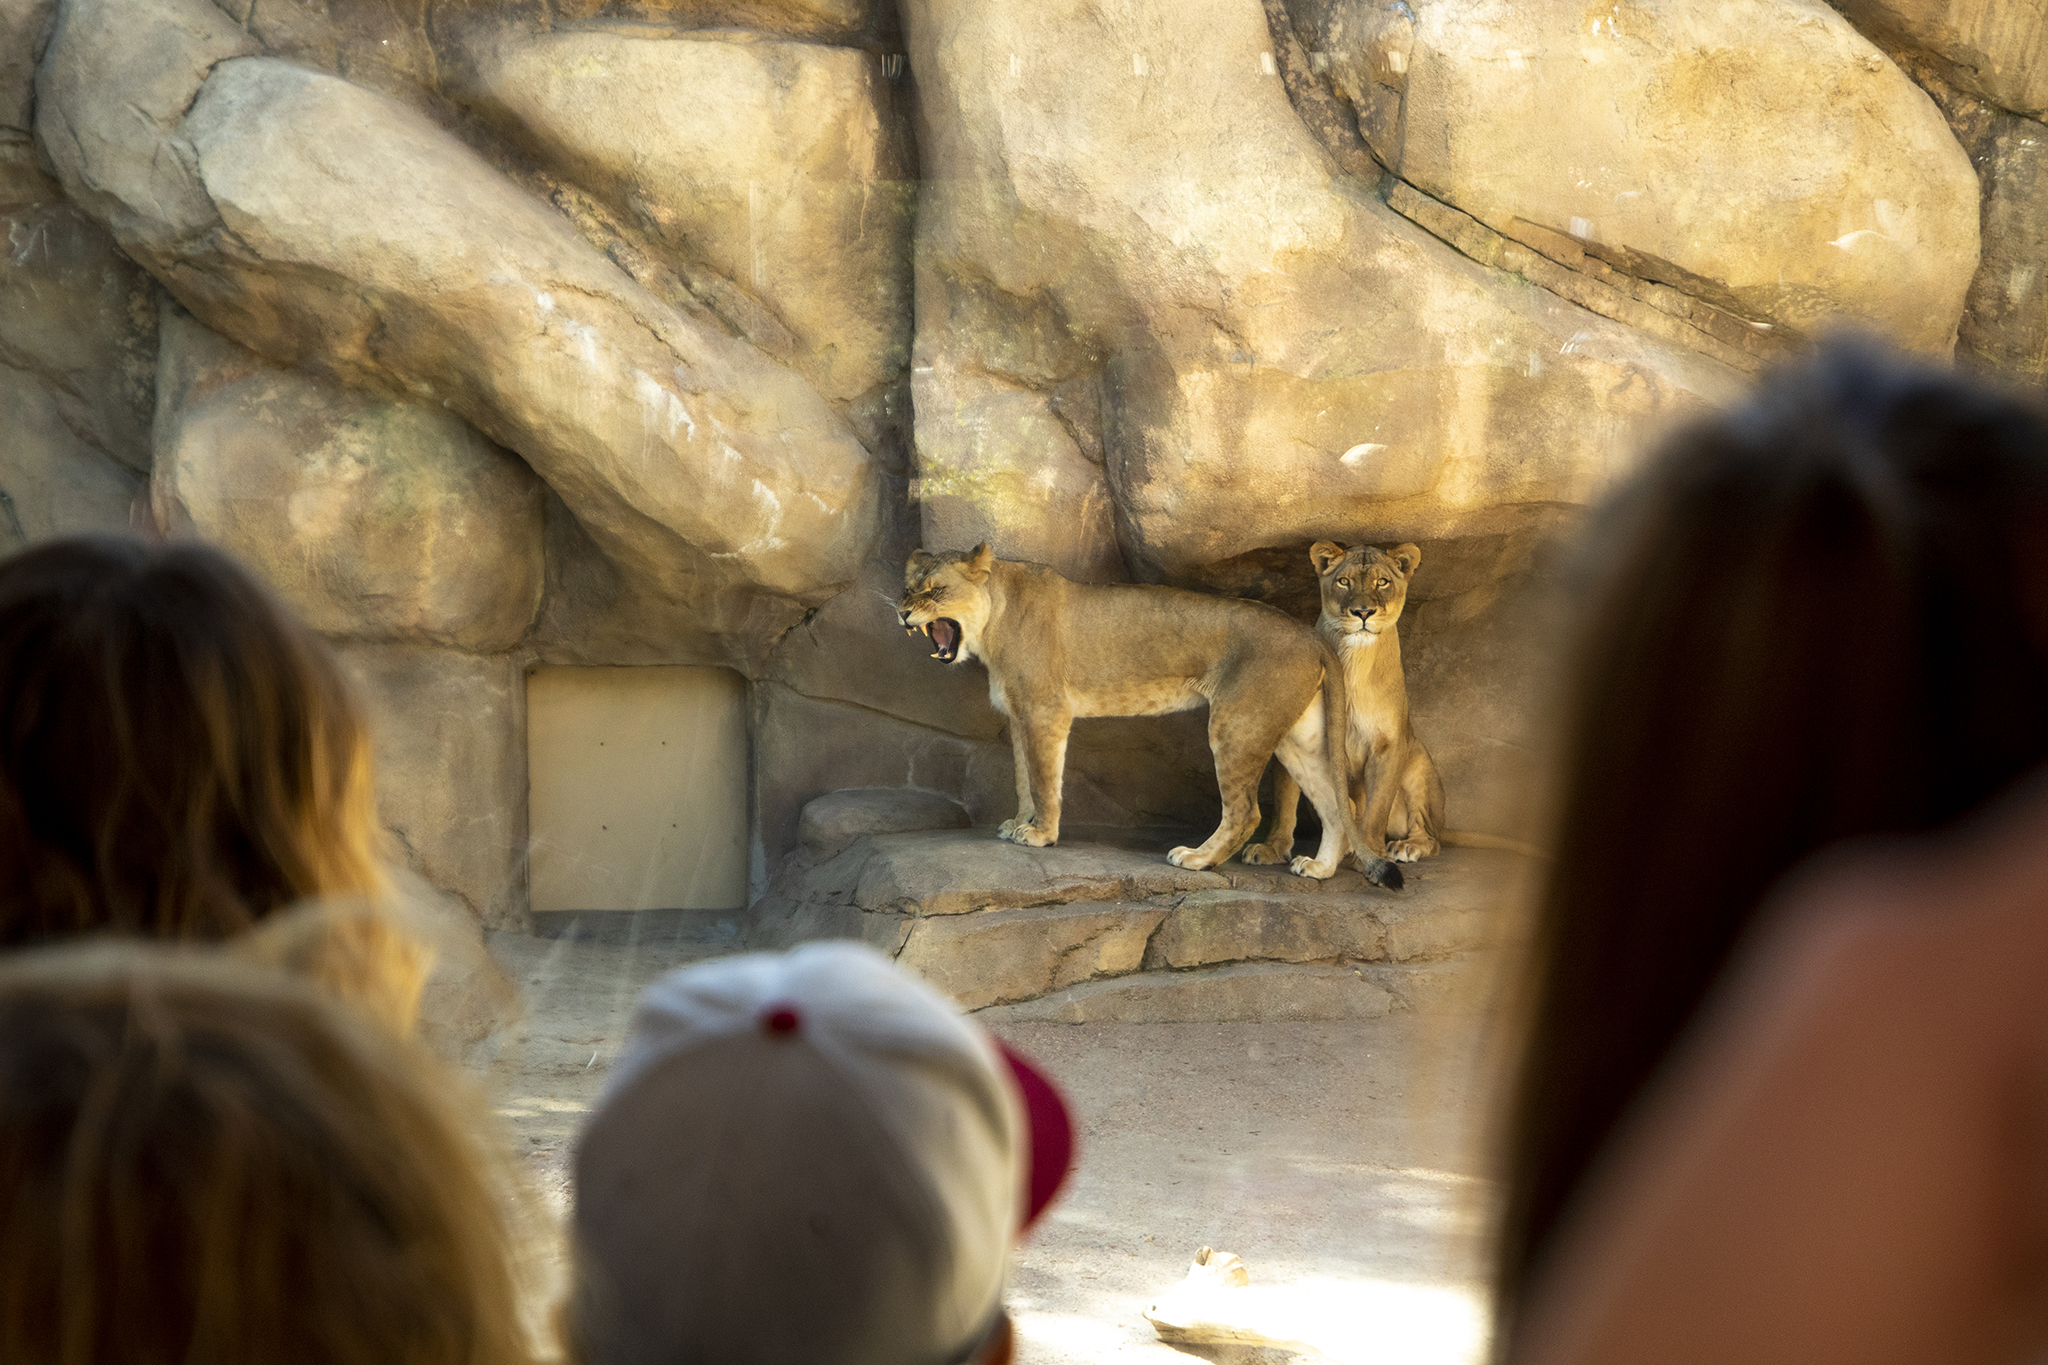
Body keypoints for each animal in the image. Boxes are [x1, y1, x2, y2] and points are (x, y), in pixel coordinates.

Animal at [896, 544, 1403, 889]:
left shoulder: (1045, 711)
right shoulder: (1021, 717)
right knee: (1339, 802)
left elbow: (1044, 779)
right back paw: (1319, 868)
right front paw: (1019, 823)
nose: (901, 612)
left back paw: (1197, 859)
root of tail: (1310, 633)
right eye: (907, 588)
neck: (992, 621)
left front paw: (1040, 835)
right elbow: (1024, 778)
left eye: (936, 590)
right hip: (1298, 736)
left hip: (1238, 723)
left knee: (1245, 810)